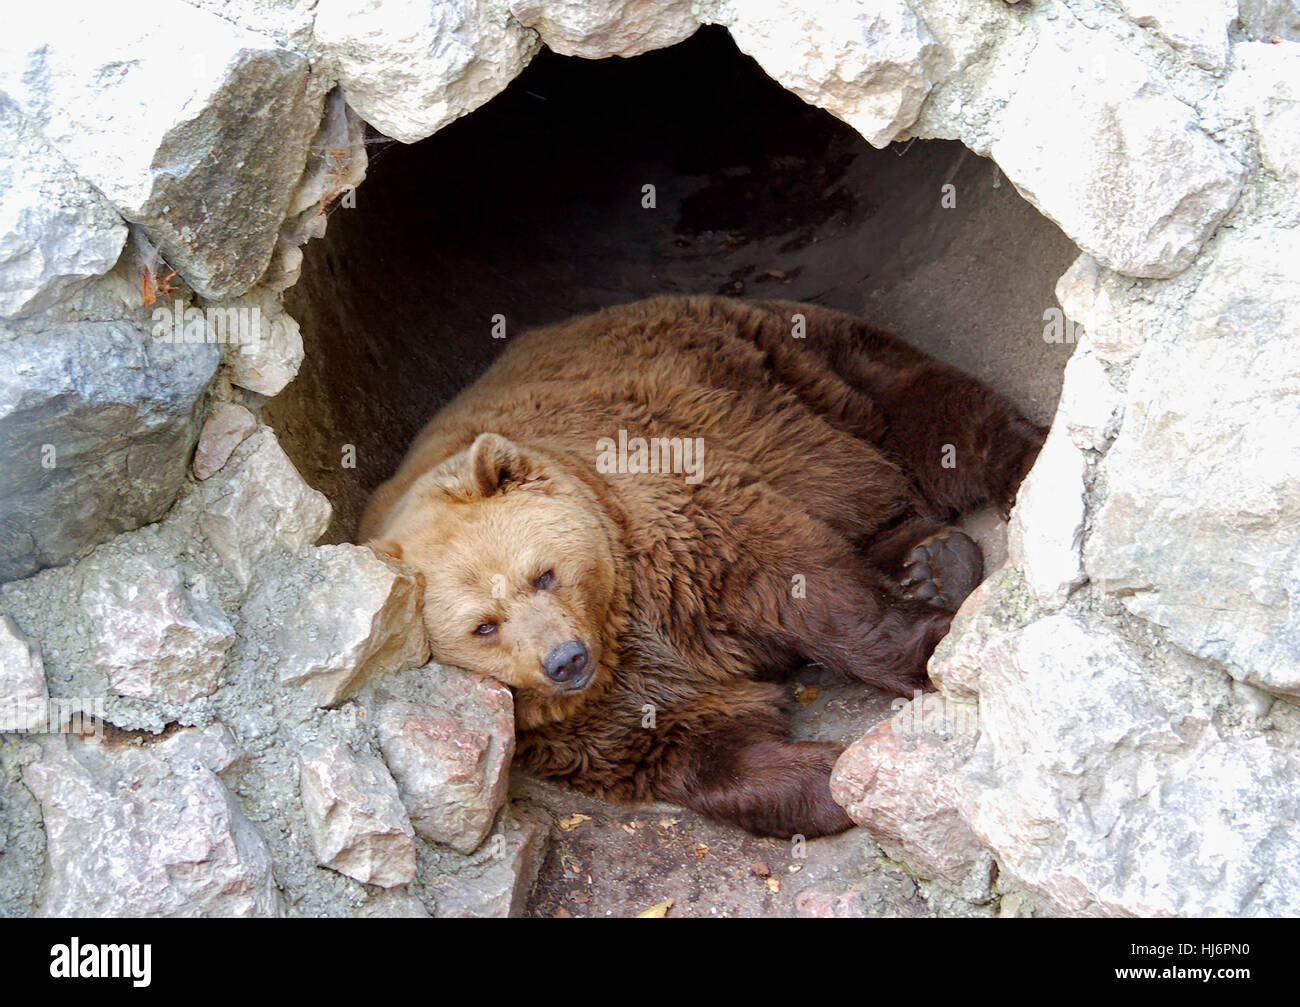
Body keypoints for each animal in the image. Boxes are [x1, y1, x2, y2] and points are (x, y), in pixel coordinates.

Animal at [359, 295, 1044, 839]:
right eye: (484, 625)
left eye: (543, 574)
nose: (565, 660)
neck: (618, 623)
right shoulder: (586, 719)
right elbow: (696, 745)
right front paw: (825, 777)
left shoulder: (677, 527)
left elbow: (802, 584)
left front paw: (927, 652)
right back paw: (931, 561)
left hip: (788, 369)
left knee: (931, 418)